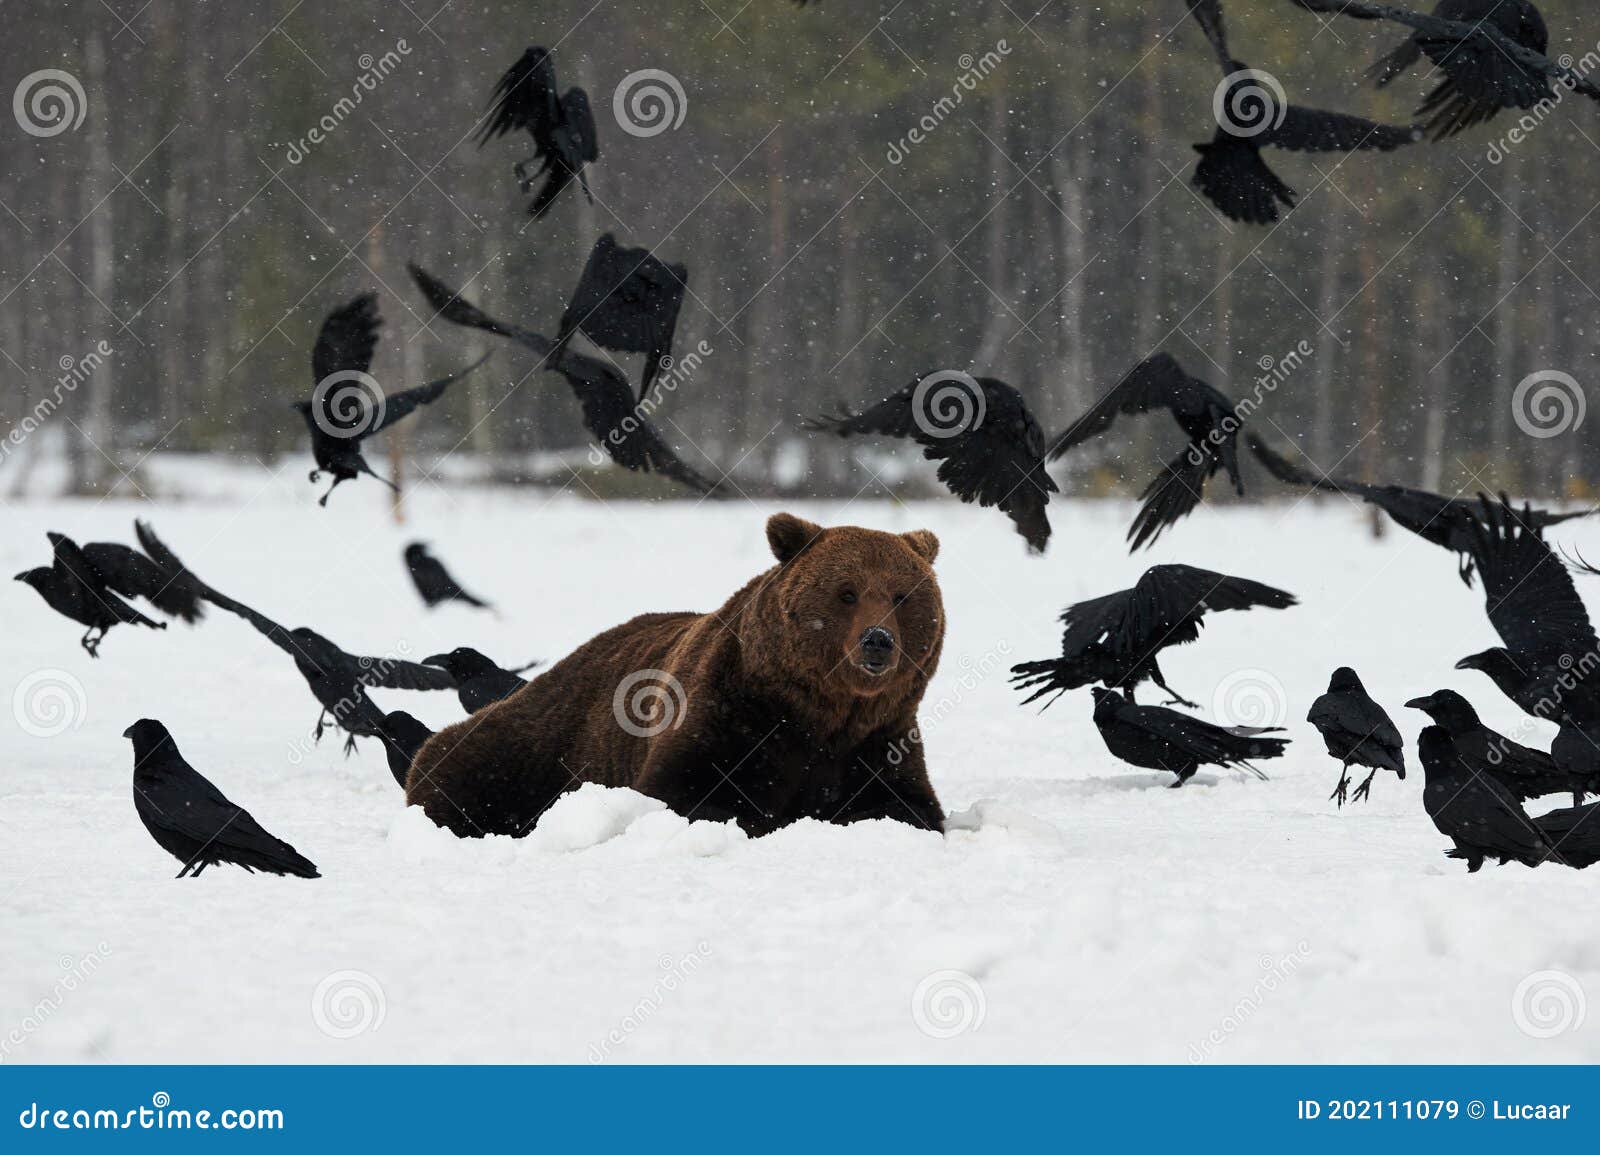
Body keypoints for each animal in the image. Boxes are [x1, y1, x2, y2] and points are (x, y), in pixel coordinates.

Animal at [404, 512, 947, 839]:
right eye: (846, 592)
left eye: (901, 595)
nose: (877, 640)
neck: (817, 714)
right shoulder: (727, 716)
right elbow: (686, 794)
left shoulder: (879, 738)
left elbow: (907, 806)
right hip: (542, 741)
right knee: (458, 759)